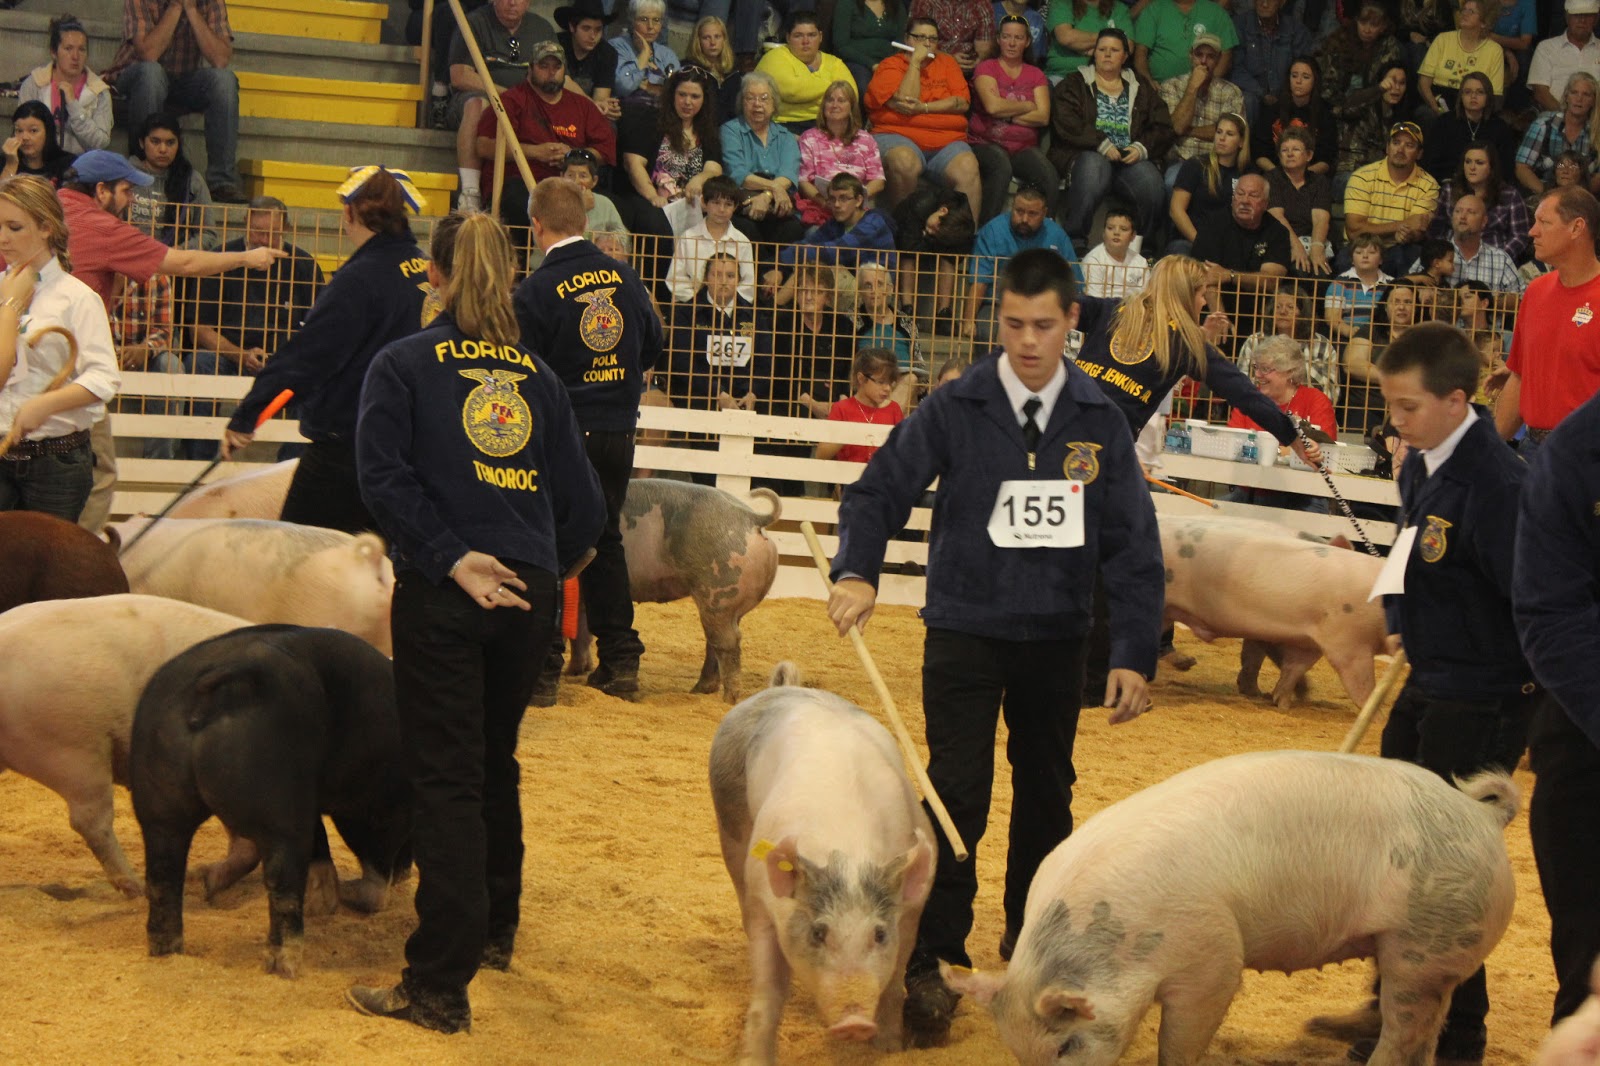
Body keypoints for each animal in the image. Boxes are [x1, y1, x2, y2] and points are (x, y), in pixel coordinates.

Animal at [131, 625, 411, 979]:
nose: (405, 873)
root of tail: (212, 686)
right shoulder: (379, 810)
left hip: (159, 807)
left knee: (163, 876)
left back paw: (170, 946)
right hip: (279, 810)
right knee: (283, 882)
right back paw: (285, 966)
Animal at [568, 479, 781, 701]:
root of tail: (752, 518)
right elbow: (581, 632)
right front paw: (577, 670)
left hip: (717, 592)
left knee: (727, 642)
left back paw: (728, 699)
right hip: (729, 604)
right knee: (714, 642)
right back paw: (699, 690)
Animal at [709, 663, 935, 1063]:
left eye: (879, 933)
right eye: (818, 932)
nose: (854, 1023)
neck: (848, 852)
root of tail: (782, 689)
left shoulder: (911, 910)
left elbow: (895, 982)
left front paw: (890, 1048)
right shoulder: (764, 902)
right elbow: (769, 992)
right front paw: (754, 1059)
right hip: (729, 822)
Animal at [946, 751, 1518, 1066]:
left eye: (1067, 1044)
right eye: (1021, 1051)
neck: (1124, 943)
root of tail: (1483, 818)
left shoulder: (1212, 956)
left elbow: (1182, 1037)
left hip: (1426, 943)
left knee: (1402, 1034)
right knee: (1426, 1036)